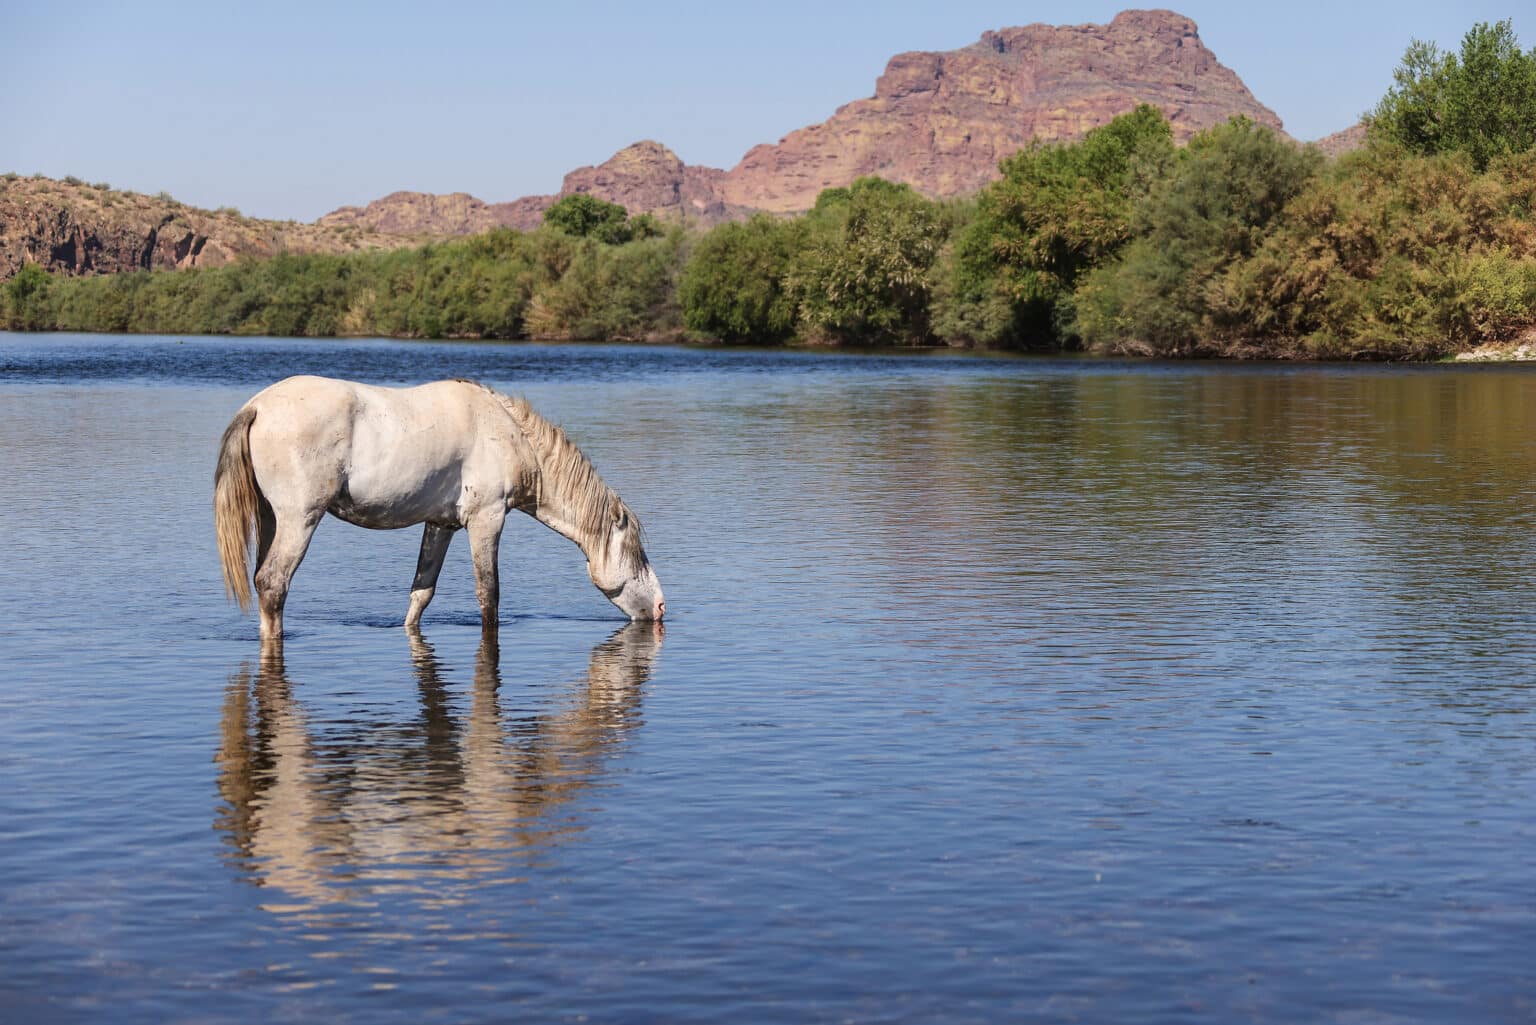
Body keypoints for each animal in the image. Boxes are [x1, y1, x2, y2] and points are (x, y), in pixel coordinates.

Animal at [214, 375, 664, 643]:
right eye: (637, 551)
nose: (660, 609)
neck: (512, 435)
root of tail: (257, 407)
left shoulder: (440, 525)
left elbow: (421, 593)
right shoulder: (487, 519)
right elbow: (489, 593)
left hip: (272, 519)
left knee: (264, 582)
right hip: (300, 519)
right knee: (273, 583)